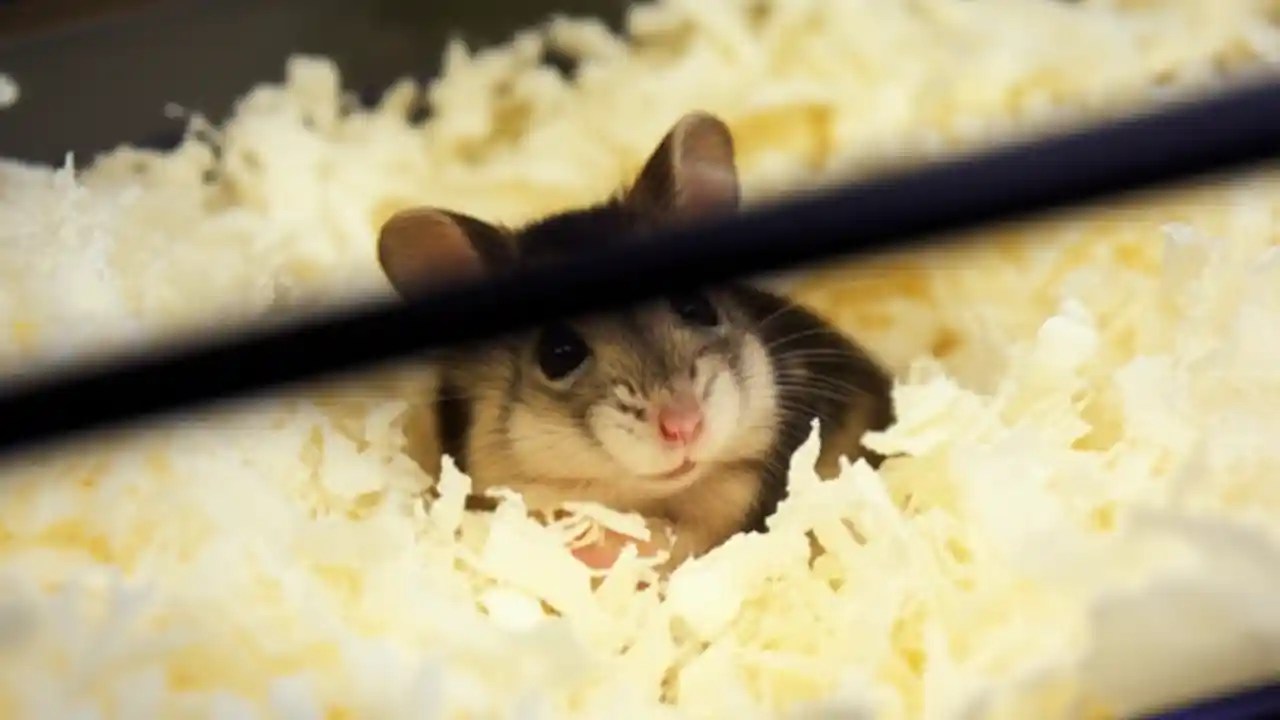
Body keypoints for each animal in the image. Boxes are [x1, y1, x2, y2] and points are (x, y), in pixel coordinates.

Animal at [378, 111, 894, 570]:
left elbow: (672, 541)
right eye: (558, 353)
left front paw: (598, 542)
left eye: (695, 305)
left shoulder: (743, 491)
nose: (684, 426)